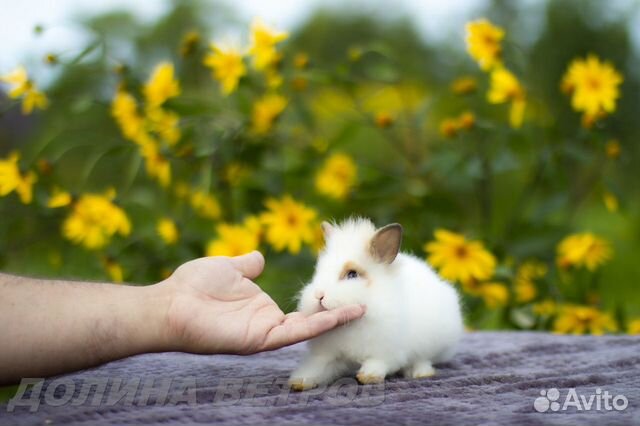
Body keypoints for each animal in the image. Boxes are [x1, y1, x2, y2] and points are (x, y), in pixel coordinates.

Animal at [288, 217, 464, 391]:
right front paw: (299, 381)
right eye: (317, 272)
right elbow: (317, 367)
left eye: (352, 274)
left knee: (423, 359)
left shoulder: (387, 351)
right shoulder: (327, 355)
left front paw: (368, 377)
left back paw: (421, 373)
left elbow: (378, 362)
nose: (319, 295)